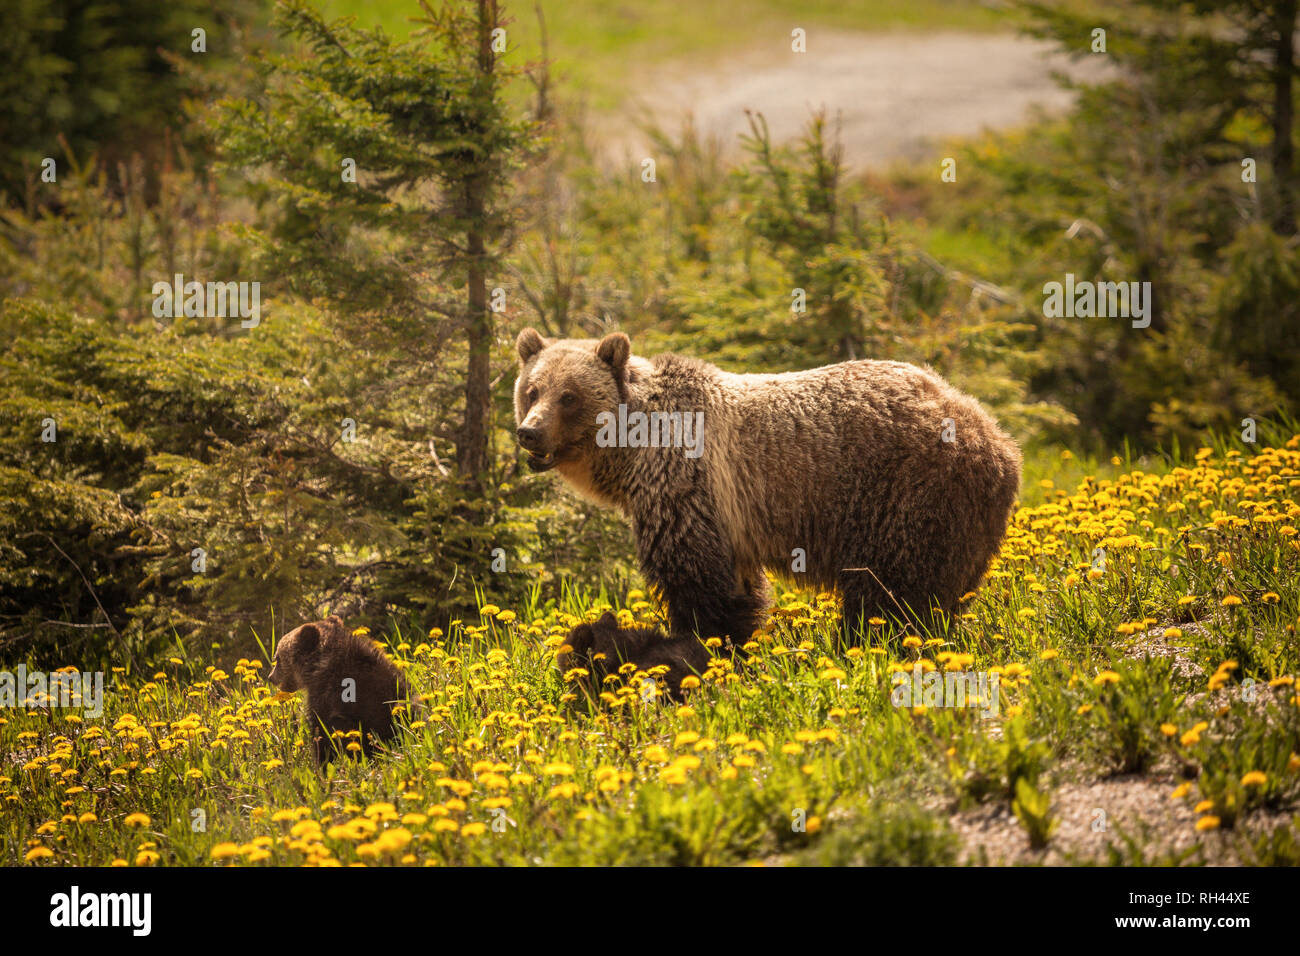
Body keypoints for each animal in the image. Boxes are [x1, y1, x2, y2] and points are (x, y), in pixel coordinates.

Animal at [513, 327, 1021, 680]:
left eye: (569, 396)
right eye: (531, 390)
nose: (529, 432)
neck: (633, 451)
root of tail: (995, 437)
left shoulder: (687, 485)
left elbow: (698, 583)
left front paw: (698, 648)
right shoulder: (725, 516)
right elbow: (739, 590)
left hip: (906, 493)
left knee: (892, 591)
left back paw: (864, 646)